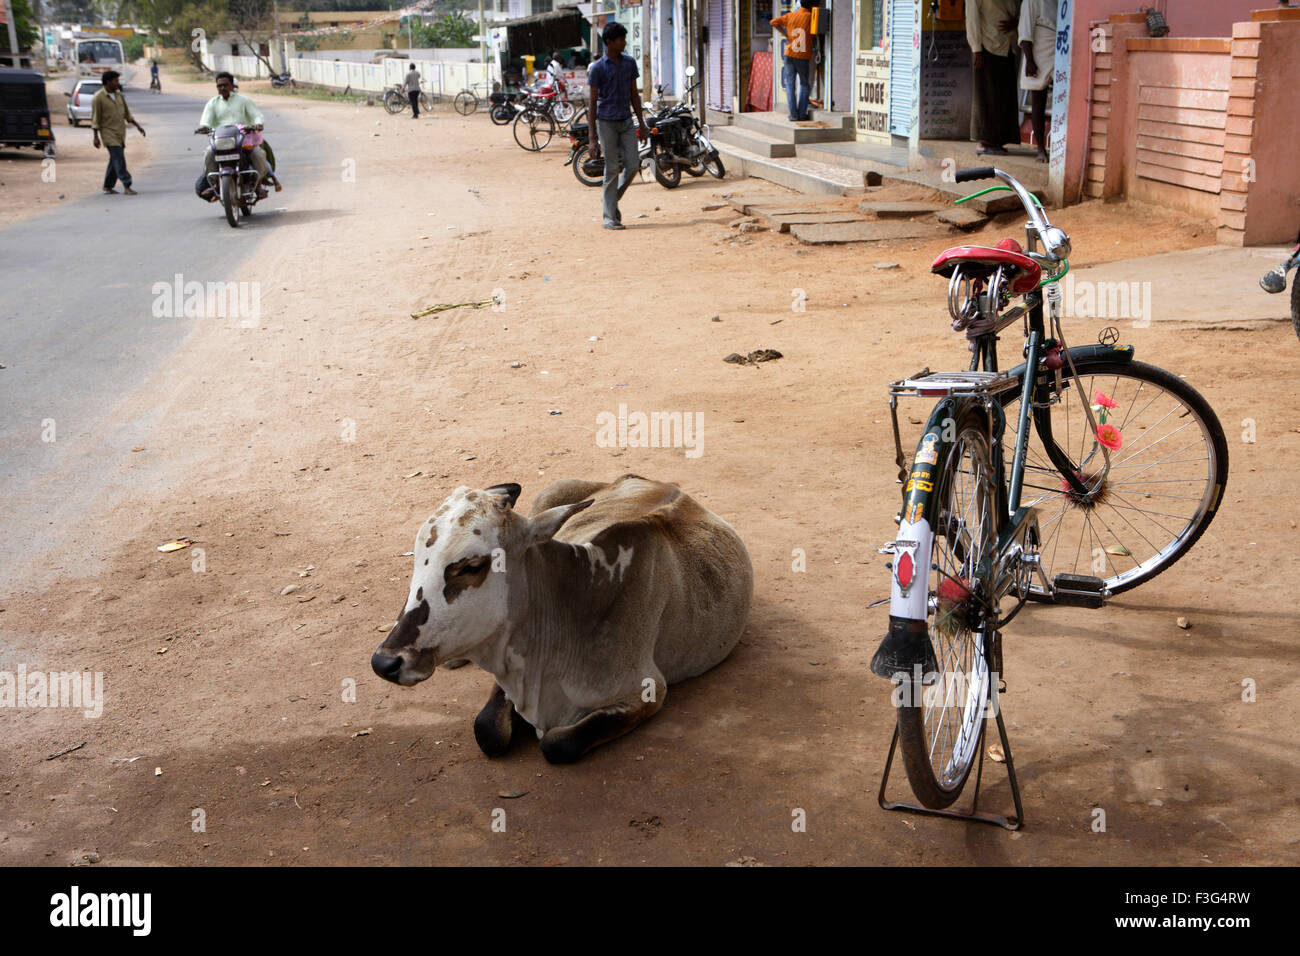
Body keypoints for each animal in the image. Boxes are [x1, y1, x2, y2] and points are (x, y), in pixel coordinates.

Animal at [369, 474, 753, 763]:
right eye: (418, 557)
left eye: (471, 566)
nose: (385, 662)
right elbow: (488, 730)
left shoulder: (647, 693)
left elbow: (556, 744)